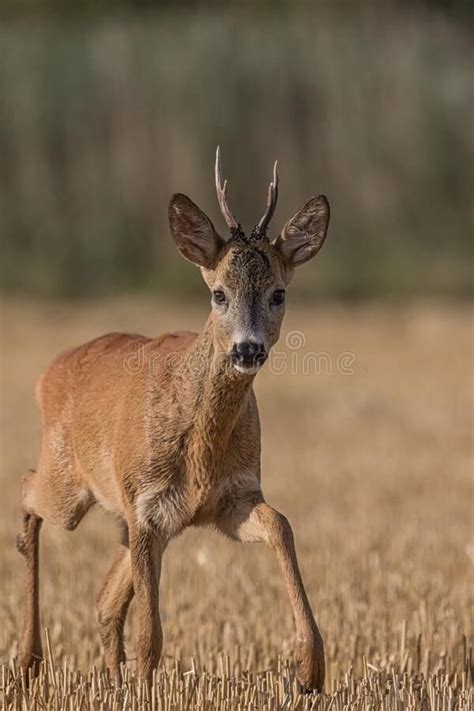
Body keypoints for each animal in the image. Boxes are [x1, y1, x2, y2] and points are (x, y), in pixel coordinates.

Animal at [16, 148, 330, 692]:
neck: (201, 449)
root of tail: (51, 370)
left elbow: (282, 525)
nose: (247, 349)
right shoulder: (145, 504)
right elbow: (151, 632)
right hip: (71, 484)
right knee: (27, 490)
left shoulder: (231, 499)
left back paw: (106, 678)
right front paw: (145, 687)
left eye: (279, 293)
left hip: (124, 516)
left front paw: (310, 667)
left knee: (103, 599)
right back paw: (28, 659)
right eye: (218, 293)